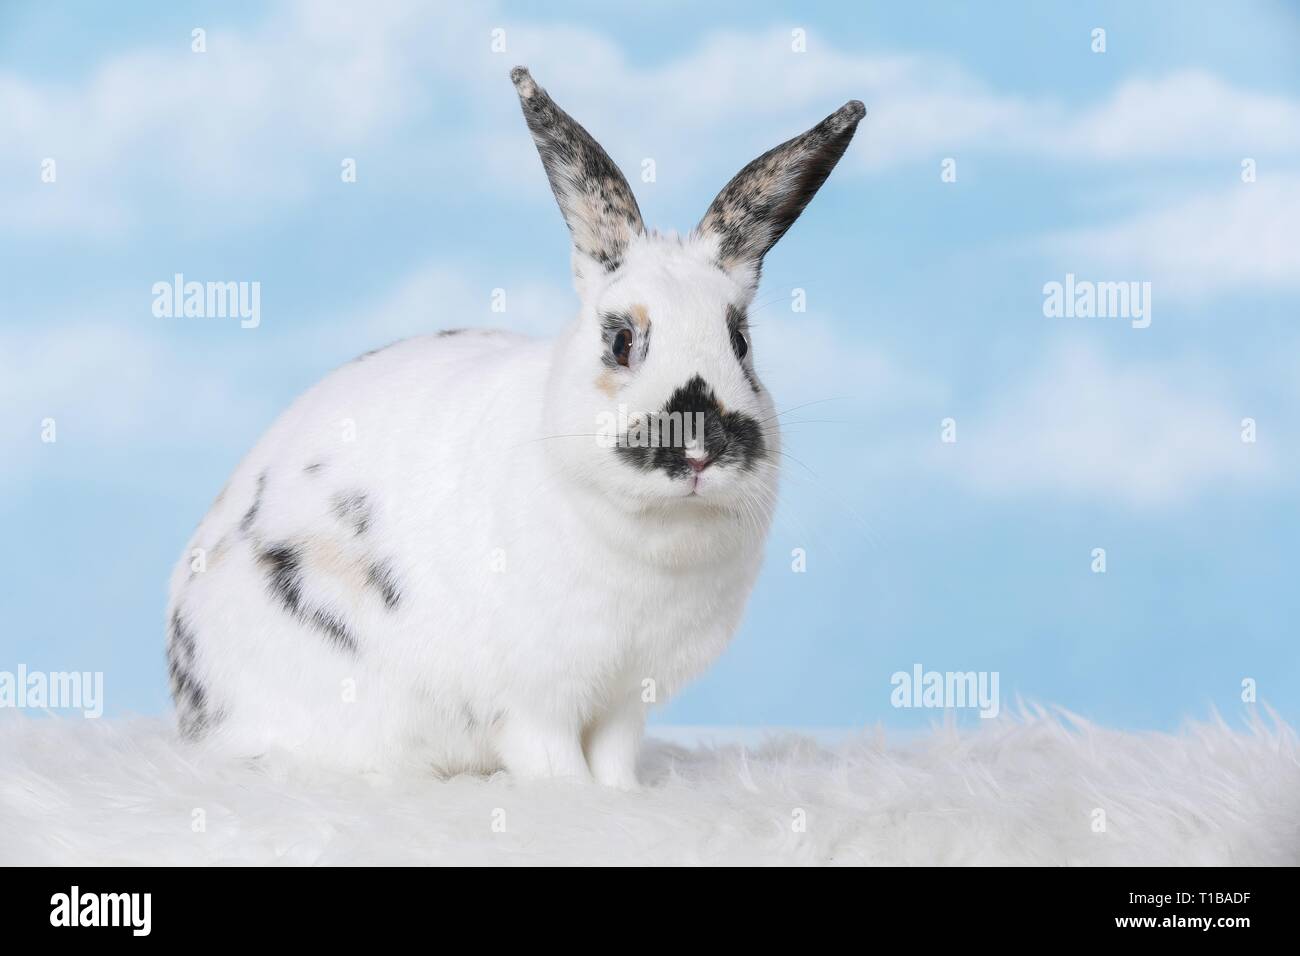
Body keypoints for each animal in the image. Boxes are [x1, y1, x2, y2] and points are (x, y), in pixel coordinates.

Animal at [165, 66, 864, 787]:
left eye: (740, 341)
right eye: (621, 341)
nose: (700, 447)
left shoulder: (624, 700)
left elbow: (615, 757)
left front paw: (624, 796)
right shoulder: (534, 703)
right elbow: (552, 760)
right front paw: (573, 796)